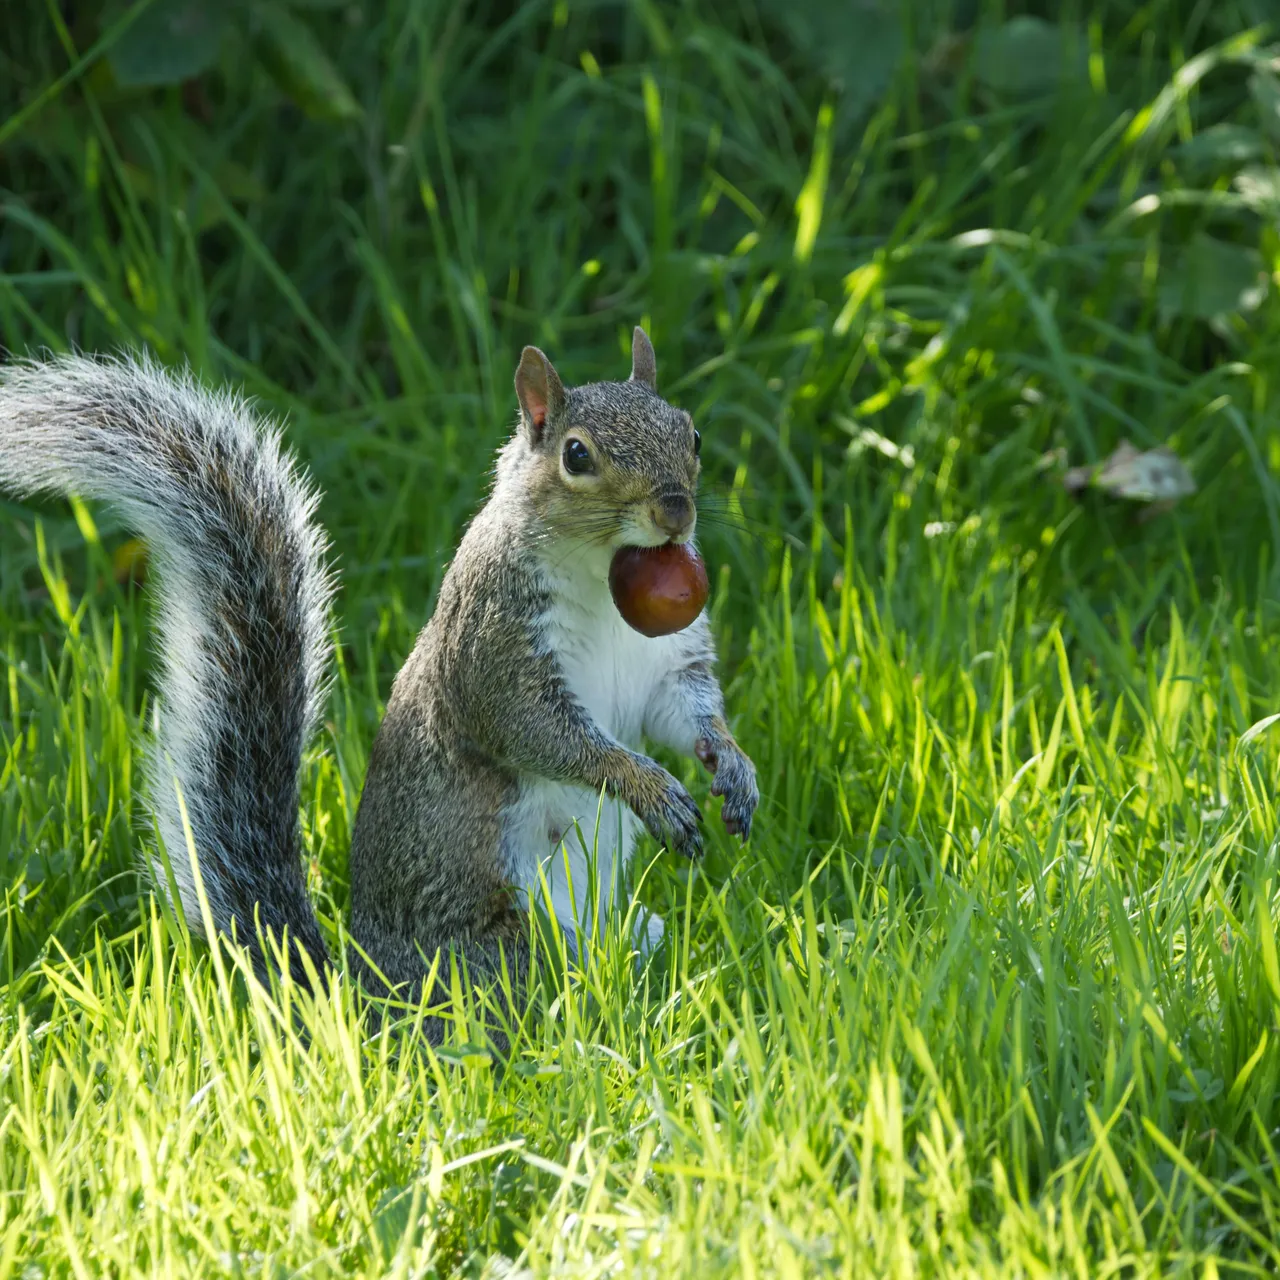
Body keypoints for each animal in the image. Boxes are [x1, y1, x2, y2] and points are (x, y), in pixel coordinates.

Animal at [0, 328, 758, 1031]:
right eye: (577, 456)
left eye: (690, 431)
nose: (675, 509)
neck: (605, 572)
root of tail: (365, 1004)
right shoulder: (494, 648)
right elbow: (541, 734)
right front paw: (647, 787)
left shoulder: (670, 662)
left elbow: (683, 712)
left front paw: (732, 766)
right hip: (494, 956)